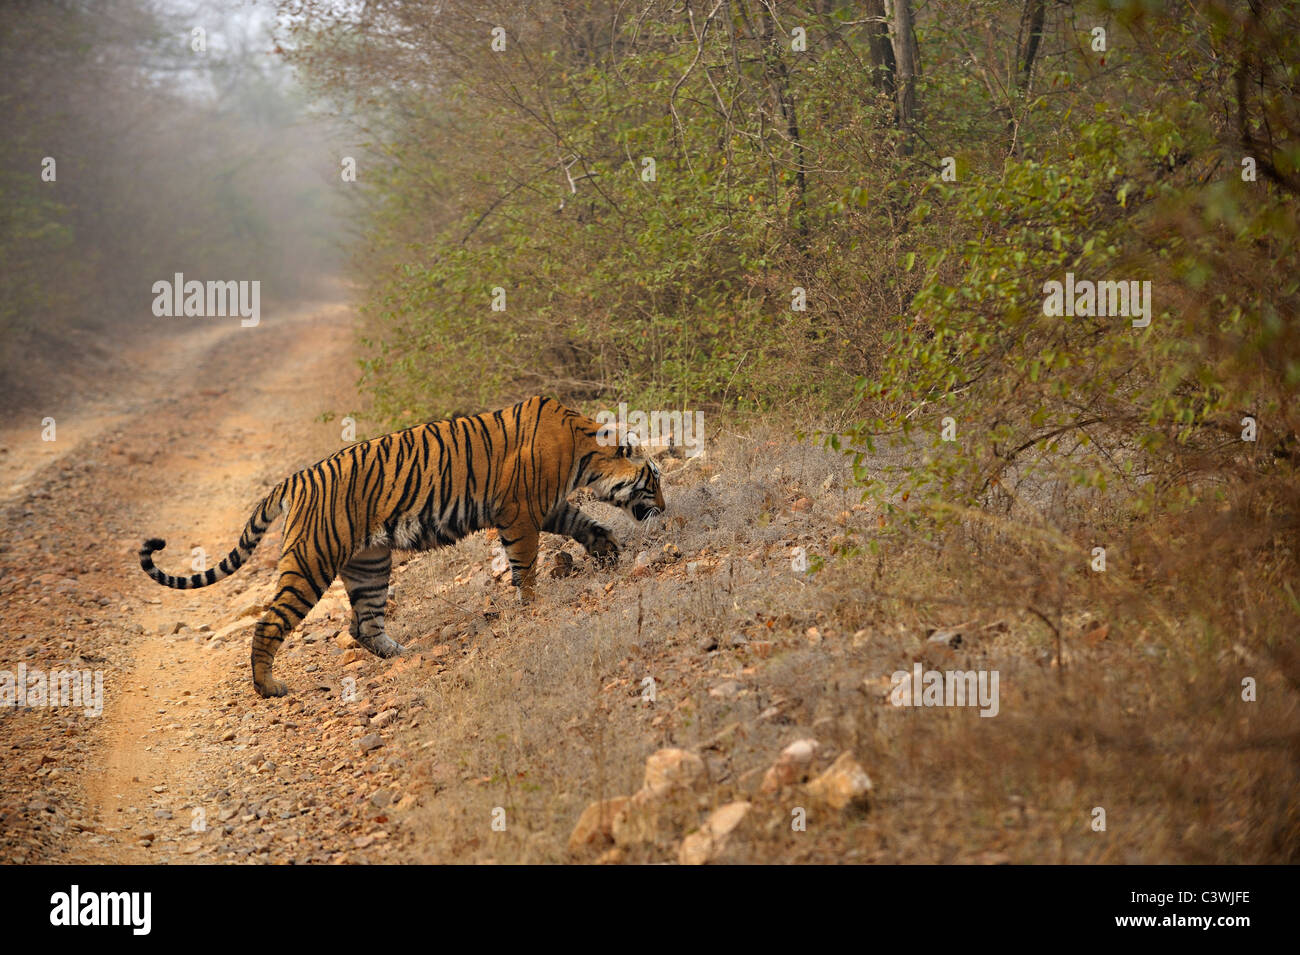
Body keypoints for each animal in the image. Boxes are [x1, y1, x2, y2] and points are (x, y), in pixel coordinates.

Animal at [138, 396, 666, 698]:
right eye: (654, 479)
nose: (664, 506)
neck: (585, 452)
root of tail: (297, 477)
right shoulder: (519, 512)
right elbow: (527, 565)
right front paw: (533, 606)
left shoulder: (546, 505)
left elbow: (587, 525)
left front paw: (609, 552)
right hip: (310, 563)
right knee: (270, 624)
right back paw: (269, 688)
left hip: (368, 563)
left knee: (363, 624)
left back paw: (404, 654)